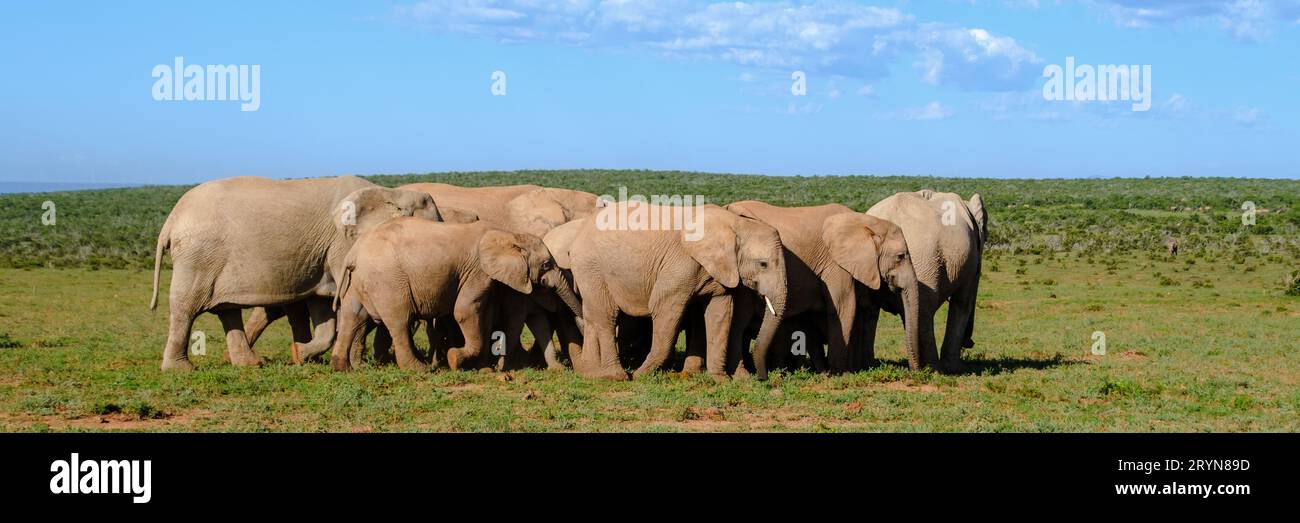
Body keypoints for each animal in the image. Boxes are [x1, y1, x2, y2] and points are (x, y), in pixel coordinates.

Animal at [149, 175, 441, 371]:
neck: (392, 192)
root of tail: (171, 219)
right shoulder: (342, 243)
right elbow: (347, 300)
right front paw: (353, 365)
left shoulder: (323, 255)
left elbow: (324, 310)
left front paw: (301, 355)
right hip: (198, 257)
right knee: (186, 307)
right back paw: (180, 369)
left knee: (227, 310)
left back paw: (251, 364)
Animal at [329, 219, 582, 372]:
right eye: (547, 264)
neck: (508, 234)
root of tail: (353, 253)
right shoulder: (477, 270)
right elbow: (464, 311)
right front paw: (454, 359)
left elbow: (484, 314)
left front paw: (483, 367)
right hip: (387, 280)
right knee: (399, 320)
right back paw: (419, 369)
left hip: (359, 280)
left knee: (352, 317)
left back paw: (342, 368)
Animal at [561, 202, 788, 380]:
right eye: (763, 264)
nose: (763, 378)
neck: (735, 224)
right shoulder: (680, 264)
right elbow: (664, 308)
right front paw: (641, 375)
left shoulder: (721, 270)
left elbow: (720, 313)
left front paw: (720, 380)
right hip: (590, 265)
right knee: (606, 316)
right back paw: (617, 376)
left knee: (592, 315)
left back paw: (591, 374)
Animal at [822, 190, 986, 373]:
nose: (970, 343)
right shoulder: (971, 261)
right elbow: (962, 303)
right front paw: (955, 368)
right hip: (925, 259)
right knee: (924, 311)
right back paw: (933, 369)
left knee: (871, 310)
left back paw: (871, 366)